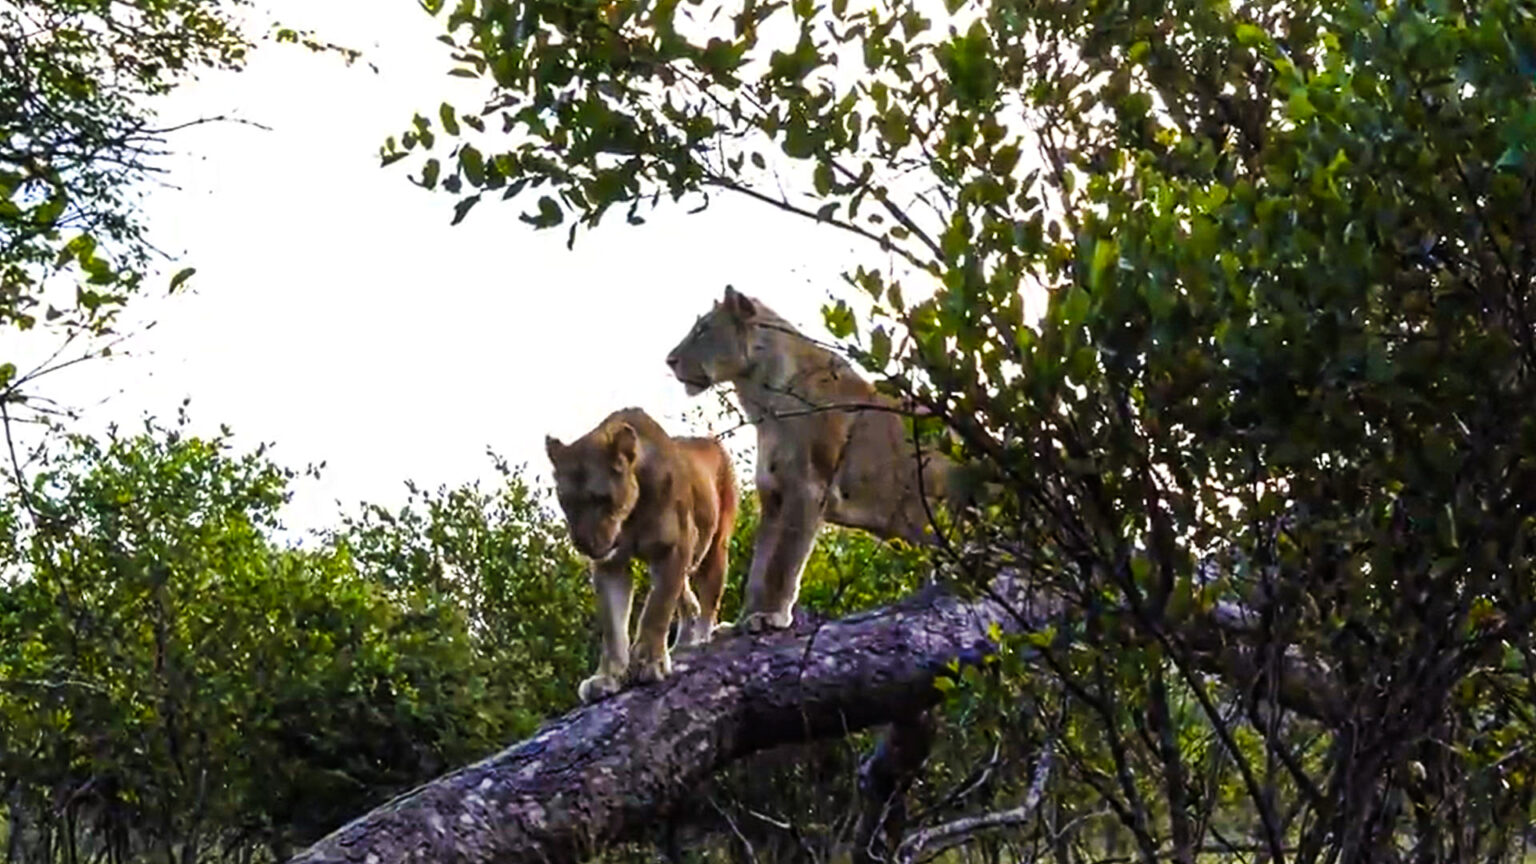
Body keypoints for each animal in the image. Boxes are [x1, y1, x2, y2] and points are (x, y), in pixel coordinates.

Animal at [545, 407, 737, 703]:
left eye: (601, 498)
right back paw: (683, 642)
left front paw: (650, 663)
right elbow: (613, 628)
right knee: (687, 599)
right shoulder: (610, 566)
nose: (584, 544)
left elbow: (656, 608)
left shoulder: (675, 548)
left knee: (709, 597)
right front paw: (606, 679)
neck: (631, 516)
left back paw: (702, 637)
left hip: (715, 545)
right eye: (566, 501)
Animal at [664, 286, 959, 634]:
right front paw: (740, 623)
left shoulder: (808, 488)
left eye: (704, 329)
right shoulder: (773, 496)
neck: (761, 401)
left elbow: (783, 563)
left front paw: (771, 617)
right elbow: (758, 570)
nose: (670, 360)